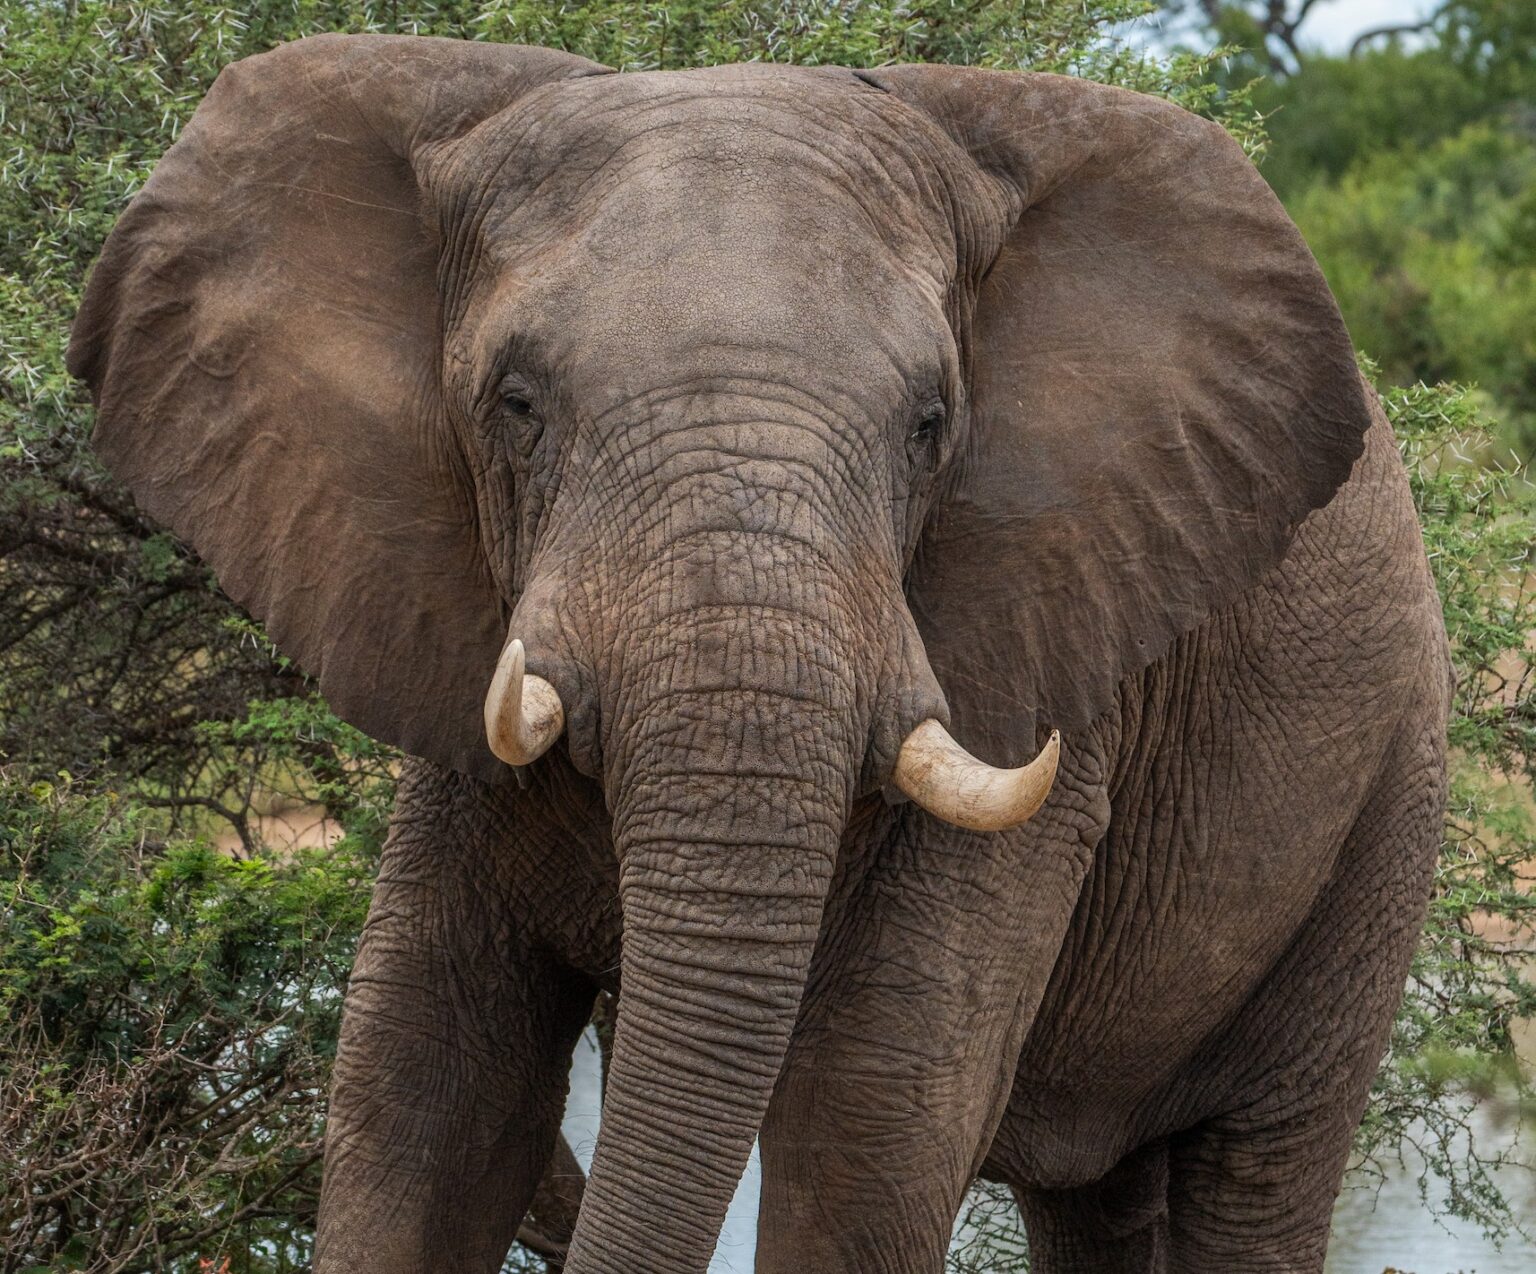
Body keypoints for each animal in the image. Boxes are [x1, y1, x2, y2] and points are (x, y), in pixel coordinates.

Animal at [68, 32, 1451, 1274]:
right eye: (516, 405)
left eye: (930, 425)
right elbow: (423, 1089)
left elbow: (868, 1130)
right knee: (1094, 1202)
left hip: (1384, 803)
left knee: (1254, 1171)